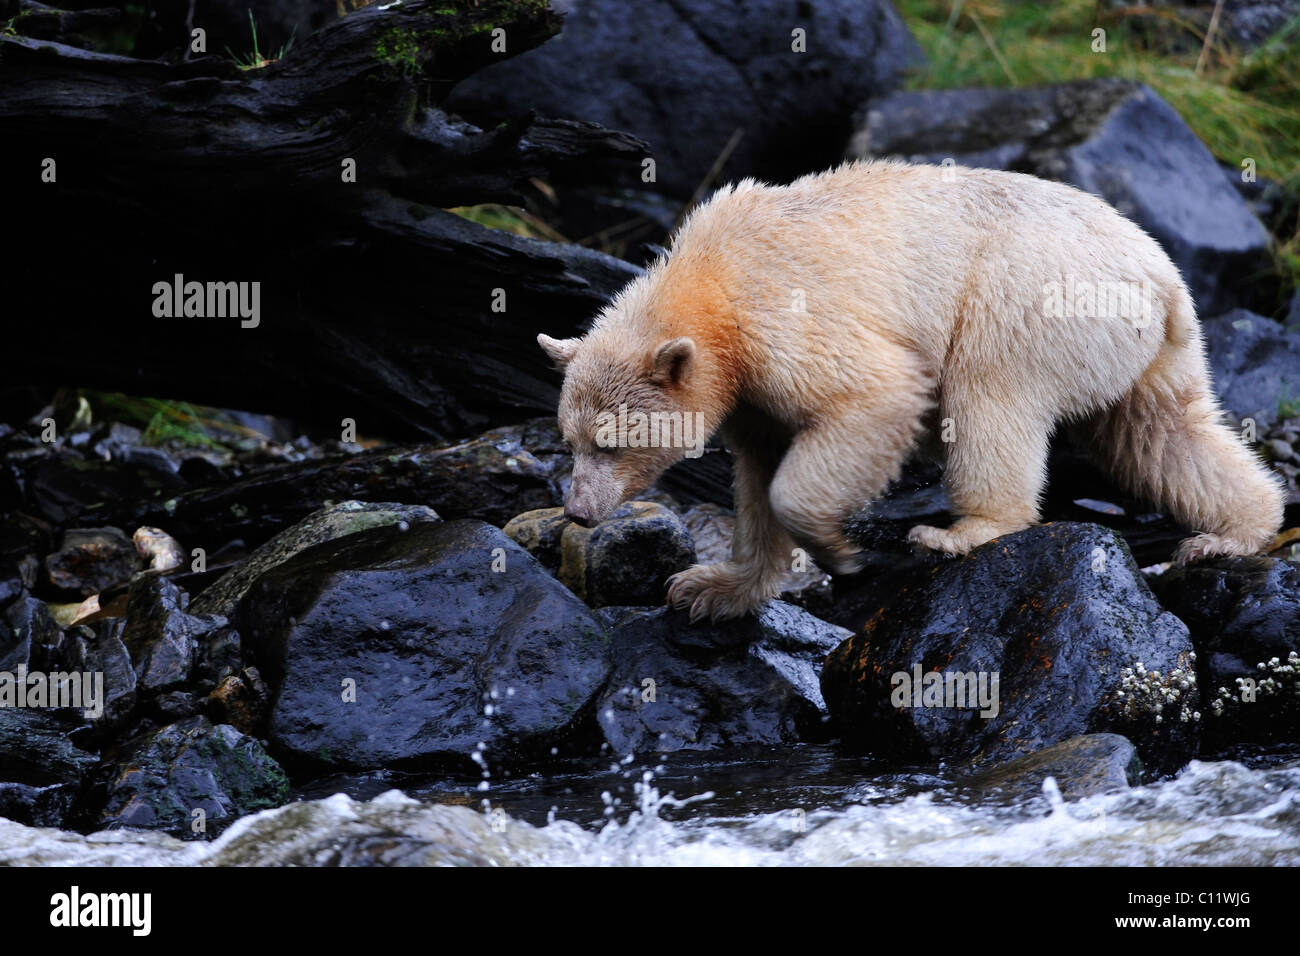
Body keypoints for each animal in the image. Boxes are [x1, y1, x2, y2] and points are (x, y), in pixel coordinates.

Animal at [538, 160, 1284, 622]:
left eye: (610, 443)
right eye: (569, 440)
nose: (577, 511)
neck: (709, 281)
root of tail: (1160, 278)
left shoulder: (781, 318)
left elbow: (873, 398)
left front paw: (839, 549)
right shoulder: (748, 390)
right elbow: (756, 468)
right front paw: (709, 587)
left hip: (1024, 298)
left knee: (988, 399)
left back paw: (963, 532)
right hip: (1151, 349)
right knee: (1163, 430)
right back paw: (1233, 532)